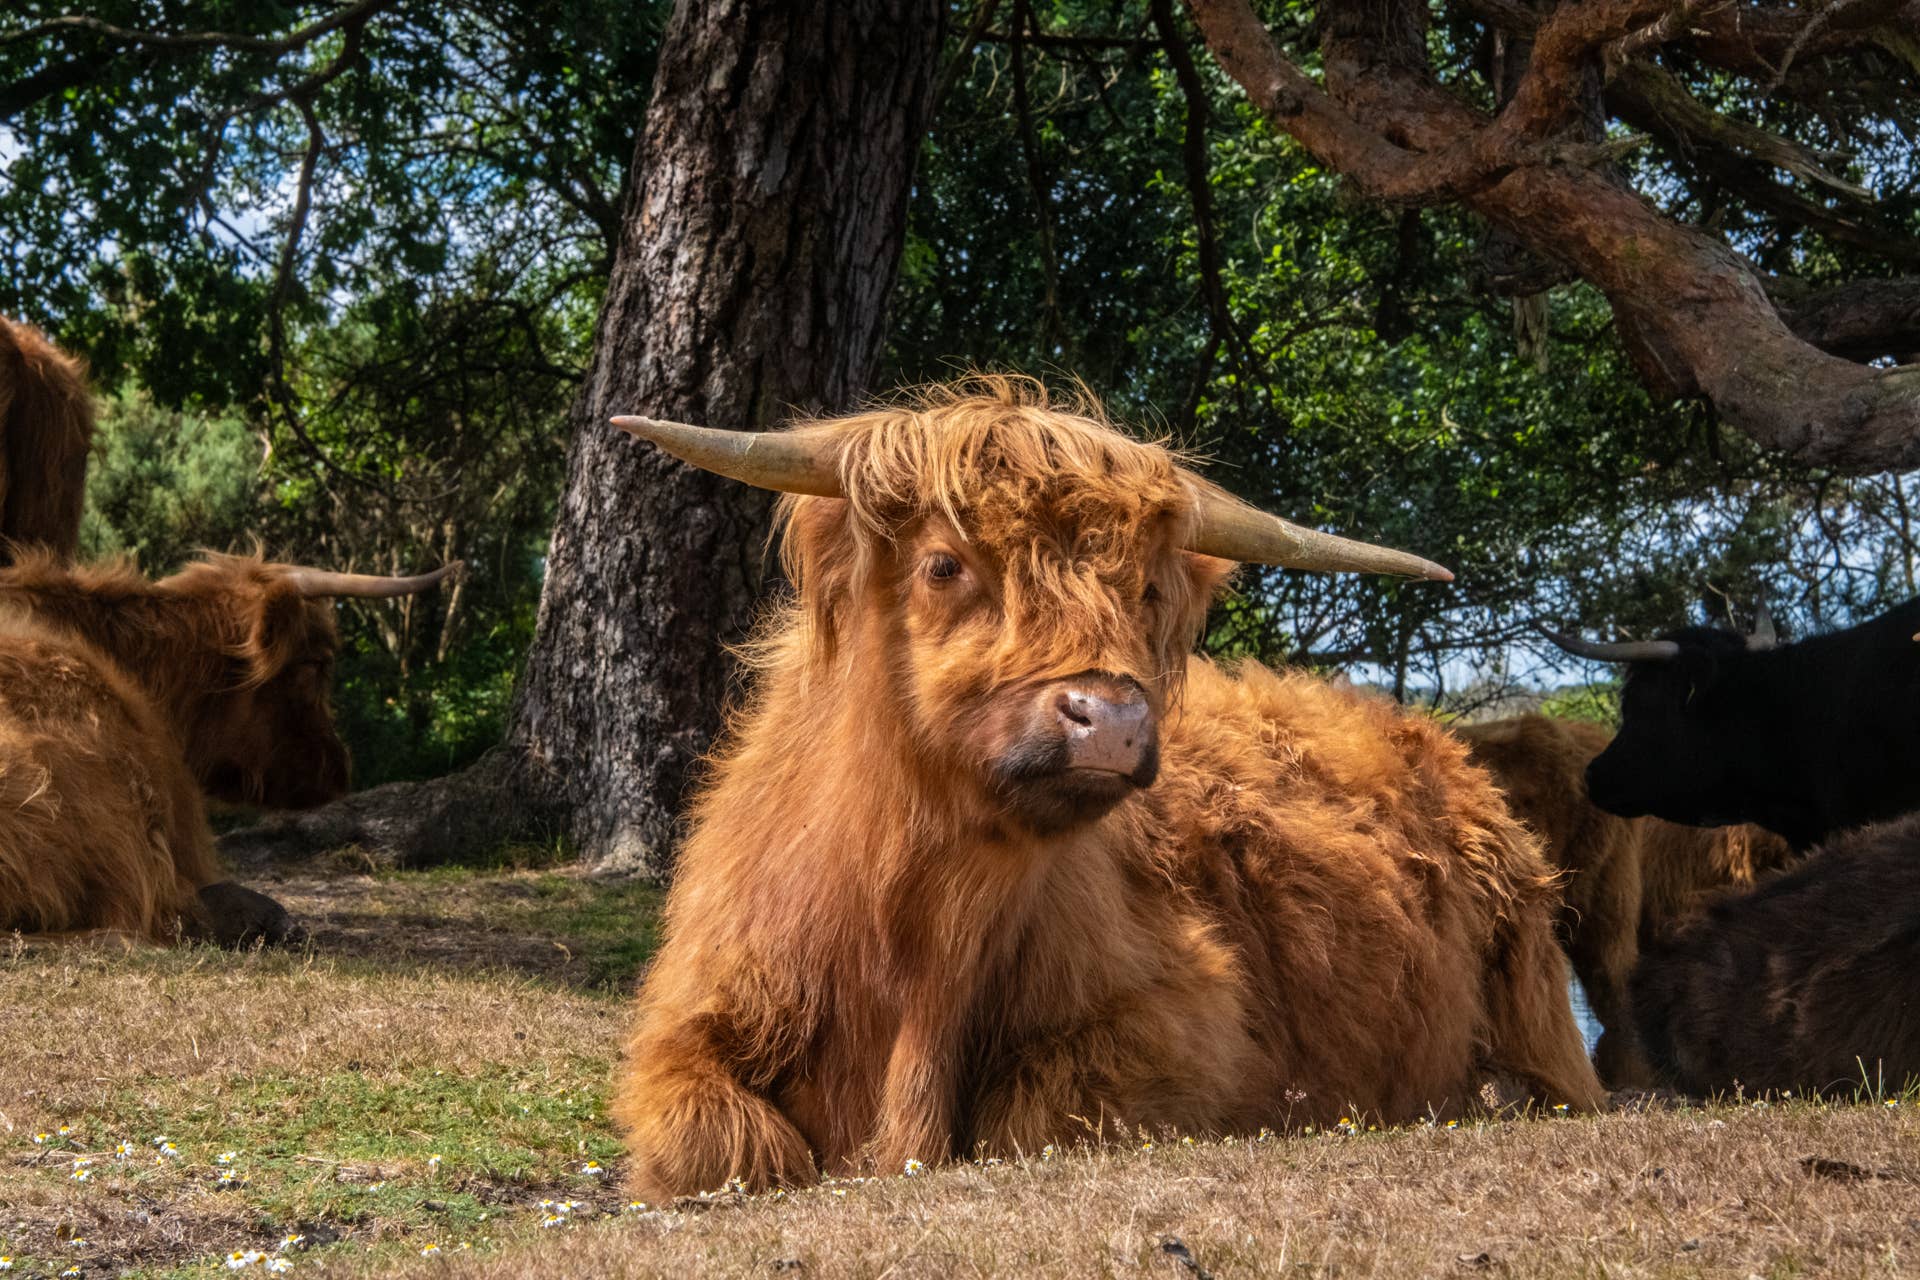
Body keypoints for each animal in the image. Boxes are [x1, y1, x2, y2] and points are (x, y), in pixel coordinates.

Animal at [605, 378, 1604, 1199]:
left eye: (1148, 590)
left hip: (1539, 995)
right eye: (943, 564)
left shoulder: (1182, 1021)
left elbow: (1027, 1117)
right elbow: (720, 1145)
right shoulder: (693, 1023)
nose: (1112, 718)